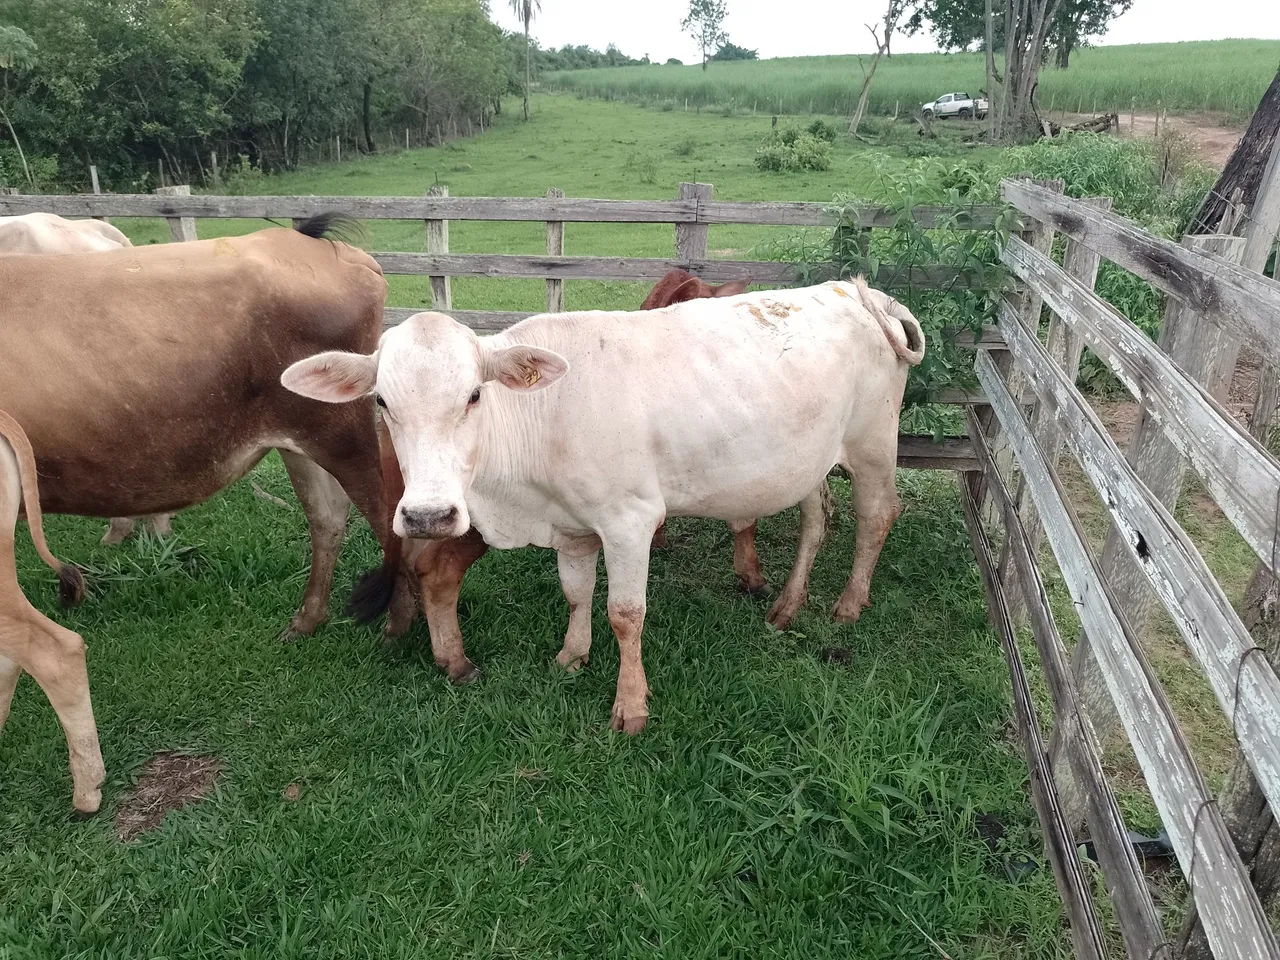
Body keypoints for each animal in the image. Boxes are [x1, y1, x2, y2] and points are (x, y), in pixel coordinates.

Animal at [281, 278, 925, 733]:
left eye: (473, 395)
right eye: (382, 402)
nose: (428, 517)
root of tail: (859, 291)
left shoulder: (630, 521)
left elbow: (625, 613)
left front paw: (630, 706)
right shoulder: (572, 526)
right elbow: (575, 592)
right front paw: (571, 655)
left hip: (872, 445)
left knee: (876, 516)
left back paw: (848, 604)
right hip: (807, 462)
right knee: (818, 520)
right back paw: (787, 607)